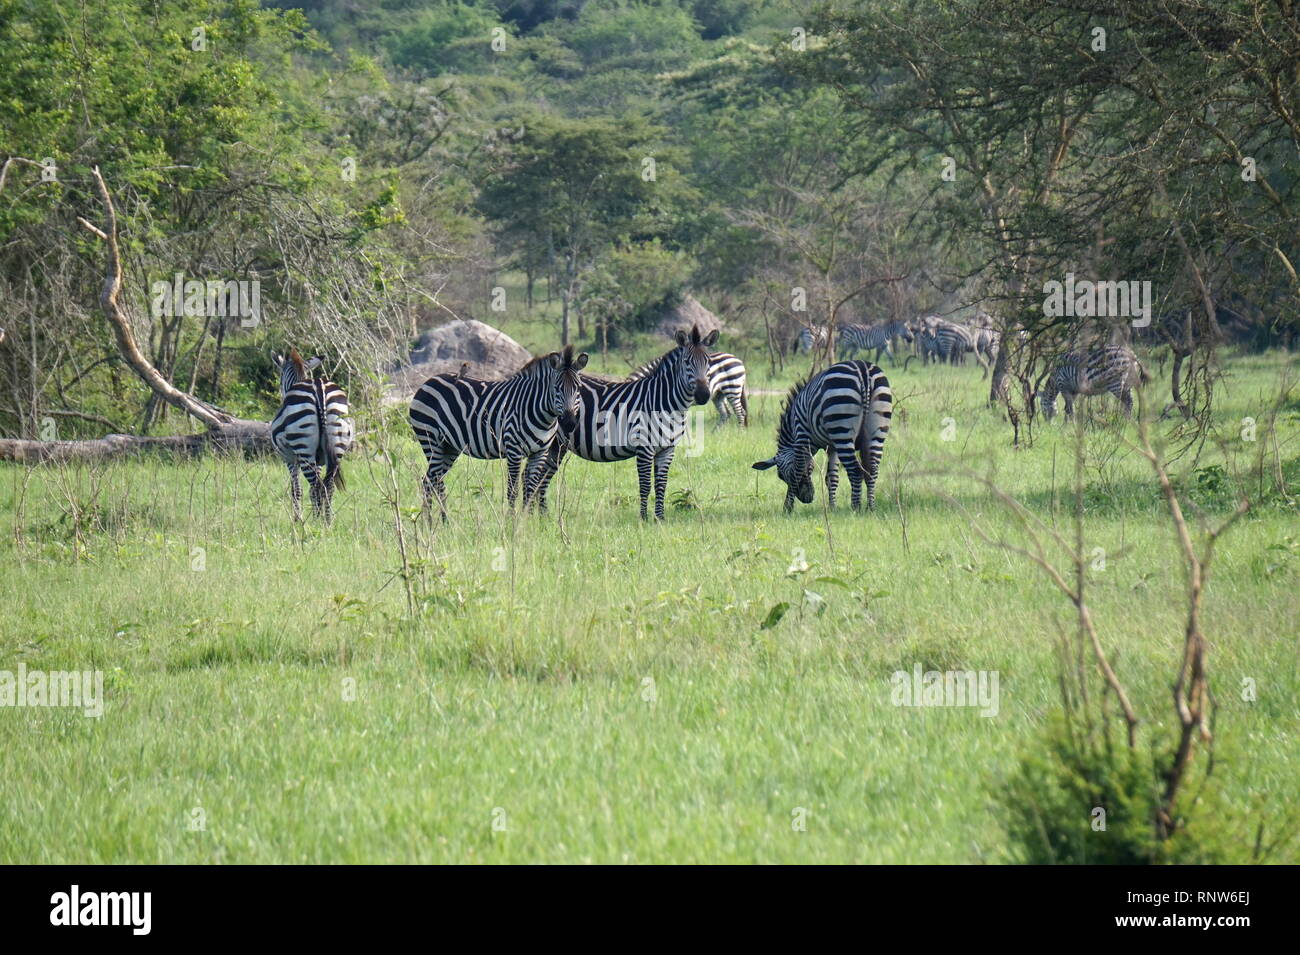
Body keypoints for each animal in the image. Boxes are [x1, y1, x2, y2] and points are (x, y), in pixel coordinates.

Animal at [271, 348, 353, 524]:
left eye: (280, 381)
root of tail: (319, 389)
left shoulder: (290, 459)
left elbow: (297, 489)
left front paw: (297, 520)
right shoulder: (320, 459)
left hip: (303, 448)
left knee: (316, 486)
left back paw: (316, 523)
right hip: (337, 443)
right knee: (328, 486)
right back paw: (327, 522)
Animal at [409, 345, 589, 518]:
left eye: (579, 389)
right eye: (556, 388)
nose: (569, 423)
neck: (543, 416)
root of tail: (428, 382)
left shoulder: (540, 452)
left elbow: (531, 489)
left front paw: (528, 522)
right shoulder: (514, 451)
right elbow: (513, 490)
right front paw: (511, 522)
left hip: (449, 446)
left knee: (429, 480)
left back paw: (435, 522)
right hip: (431, 439)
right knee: (435, 480)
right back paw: (439, 521)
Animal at [526, 326, 718, 521]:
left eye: (708, 362)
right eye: (687, 362)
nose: (703, 395)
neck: (665, 402)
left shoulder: (667, 450)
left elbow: (661, 485)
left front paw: (660, 519)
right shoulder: (644, 448)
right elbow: (645, 485)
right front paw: (644, 519)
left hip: (556, 445)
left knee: (540, 476)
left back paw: (542, 517)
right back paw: (536, 516)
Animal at [752, 359, 893, 512]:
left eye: (780, 475)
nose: (807, 498)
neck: (792, 429)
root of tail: (863, 370)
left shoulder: (802, 437)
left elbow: (796, 473)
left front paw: (787, 508)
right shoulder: (832, 447)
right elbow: (831, 478)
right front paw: (832, 508)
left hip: (841, 427)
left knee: (856, 471)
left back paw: (856, 508)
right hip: (876, 432)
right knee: (872, 470)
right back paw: (871, 508)